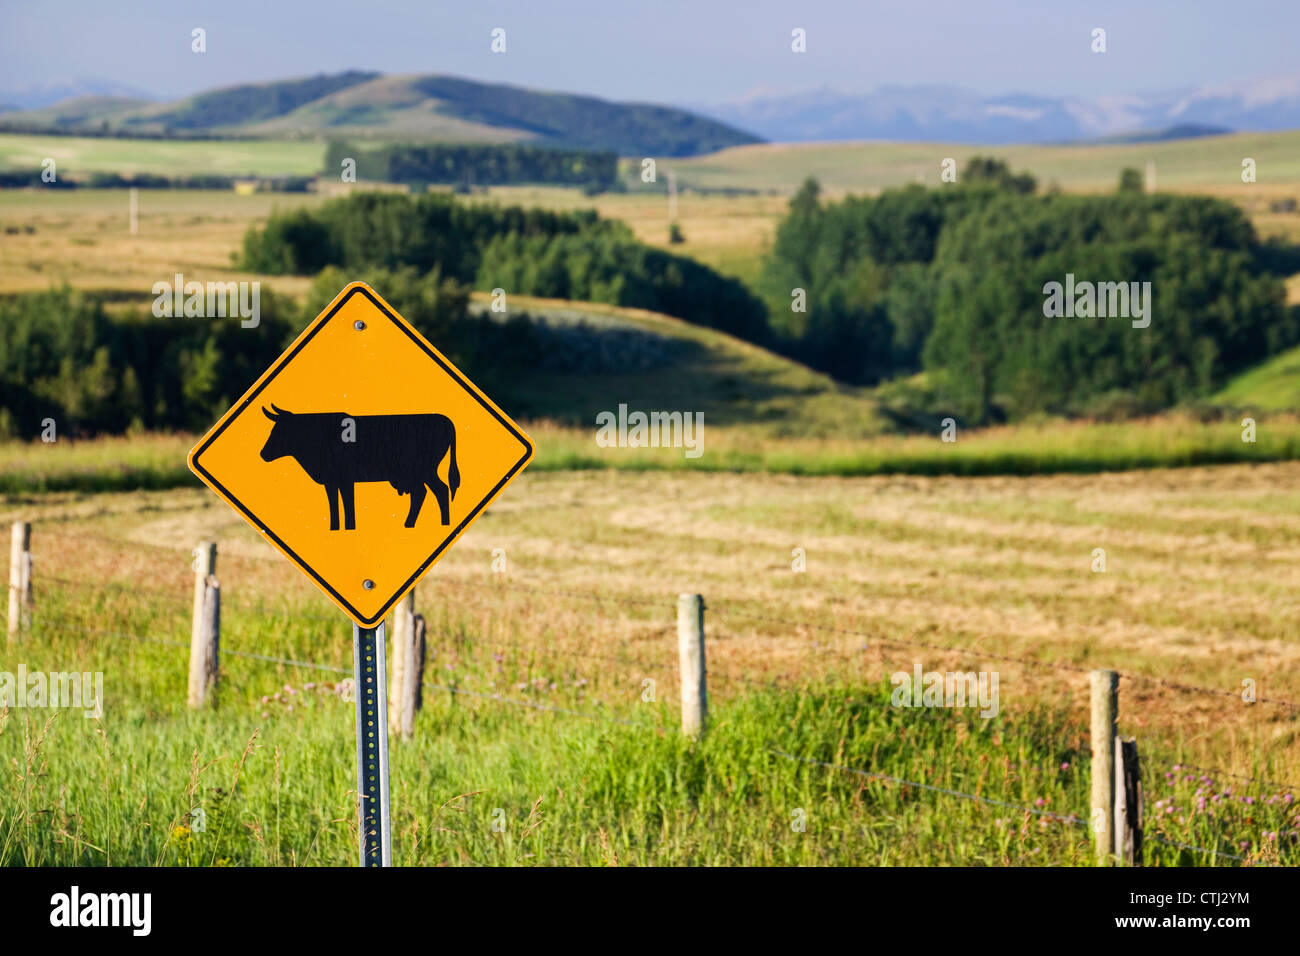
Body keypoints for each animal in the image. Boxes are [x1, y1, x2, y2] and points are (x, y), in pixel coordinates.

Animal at [259, 405, 460, 531]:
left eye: (279, 431)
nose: (263, 454)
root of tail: (447, 422)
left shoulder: (346, 479)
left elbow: (348, 505)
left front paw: (348, 527)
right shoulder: (331, 481)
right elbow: (334, 505)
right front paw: (335, 528)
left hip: (423, 470)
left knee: (437, 491)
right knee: (426, 492)